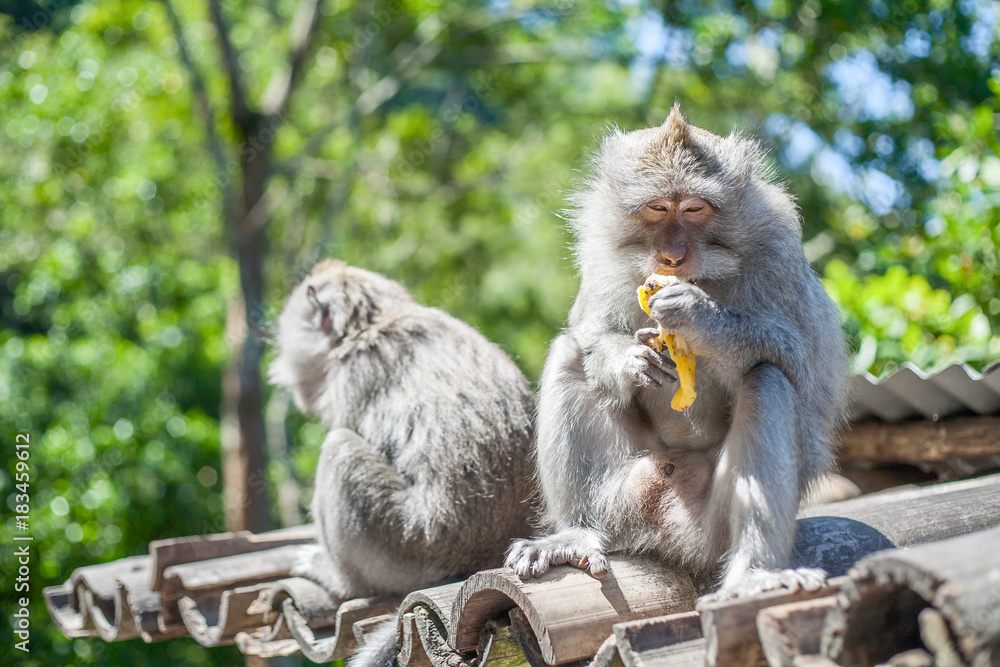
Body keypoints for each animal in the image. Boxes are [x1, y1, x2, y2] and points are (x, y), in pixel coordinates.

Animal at [269, 259, 535, 607]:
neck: (374, 323)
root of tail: (478, 559)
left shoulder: (353, 378)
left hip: (405, 547)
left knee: (340, 447)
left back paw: (344, 583)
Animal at [504, 106, 850, 600]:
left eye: (693, 208)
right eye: (657, 208)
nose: (672, 257)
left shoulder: (779, 251)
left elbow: (804, 368)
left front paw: (697, 313)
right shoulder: (600, 253)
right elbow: (589, 332)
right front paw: (626, 360)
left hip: (710, 527)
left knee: (767, 378)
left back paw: (754, 572)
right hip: (622, 496)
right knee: (570, 354)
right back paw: (575, 532)